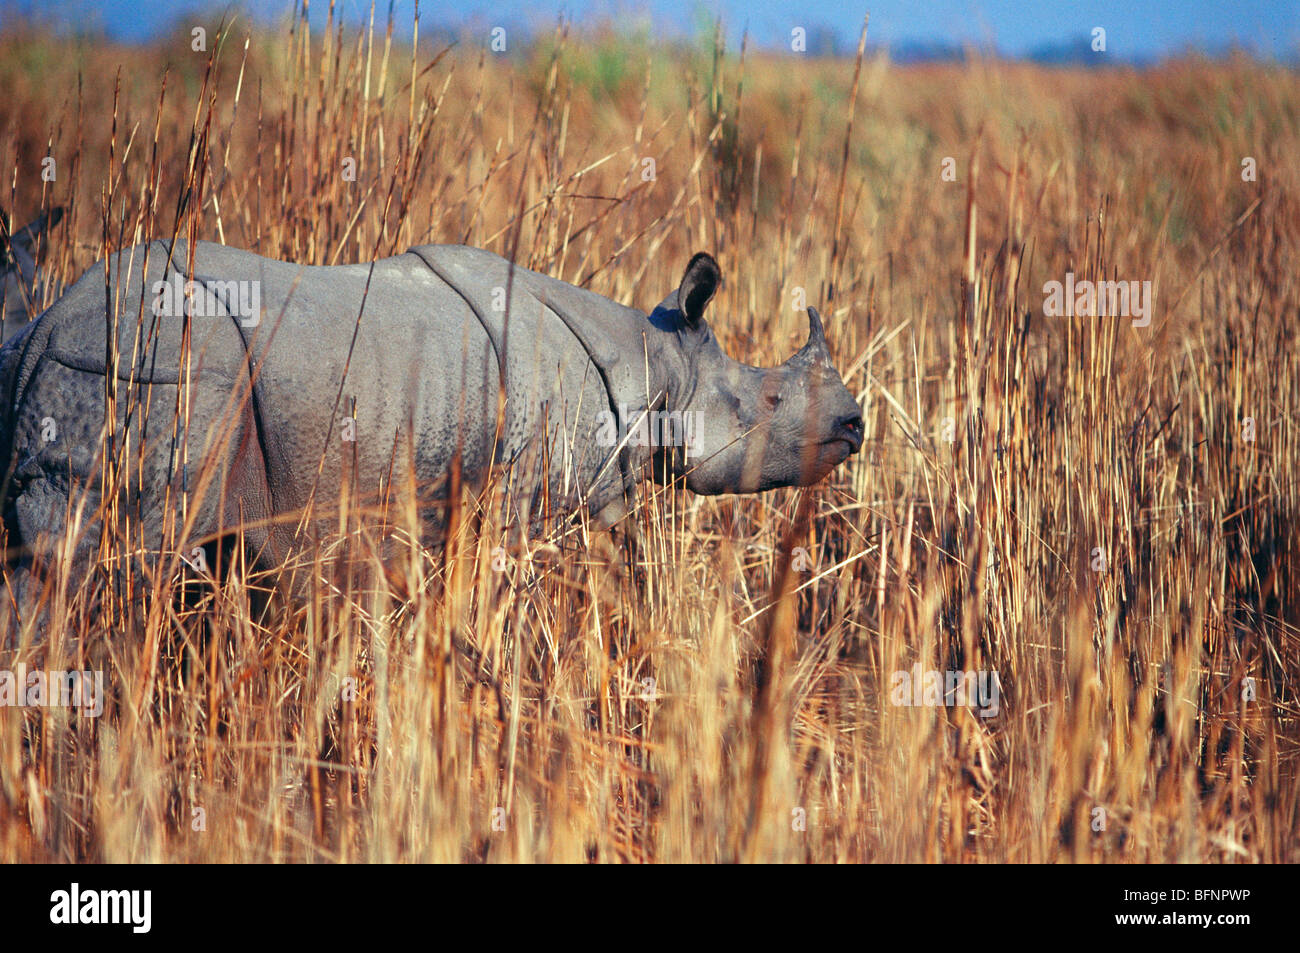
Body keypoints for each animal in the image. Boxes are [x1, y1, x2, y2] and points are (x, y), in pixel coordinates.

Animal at [0, 239, 862, 618]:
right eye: (769, 401)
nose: (855, 423)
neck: (659, 363)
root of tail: (48, 324)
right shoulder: (523, 496)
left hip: (99, 364)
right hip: (148, 367)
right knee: (92, 569)